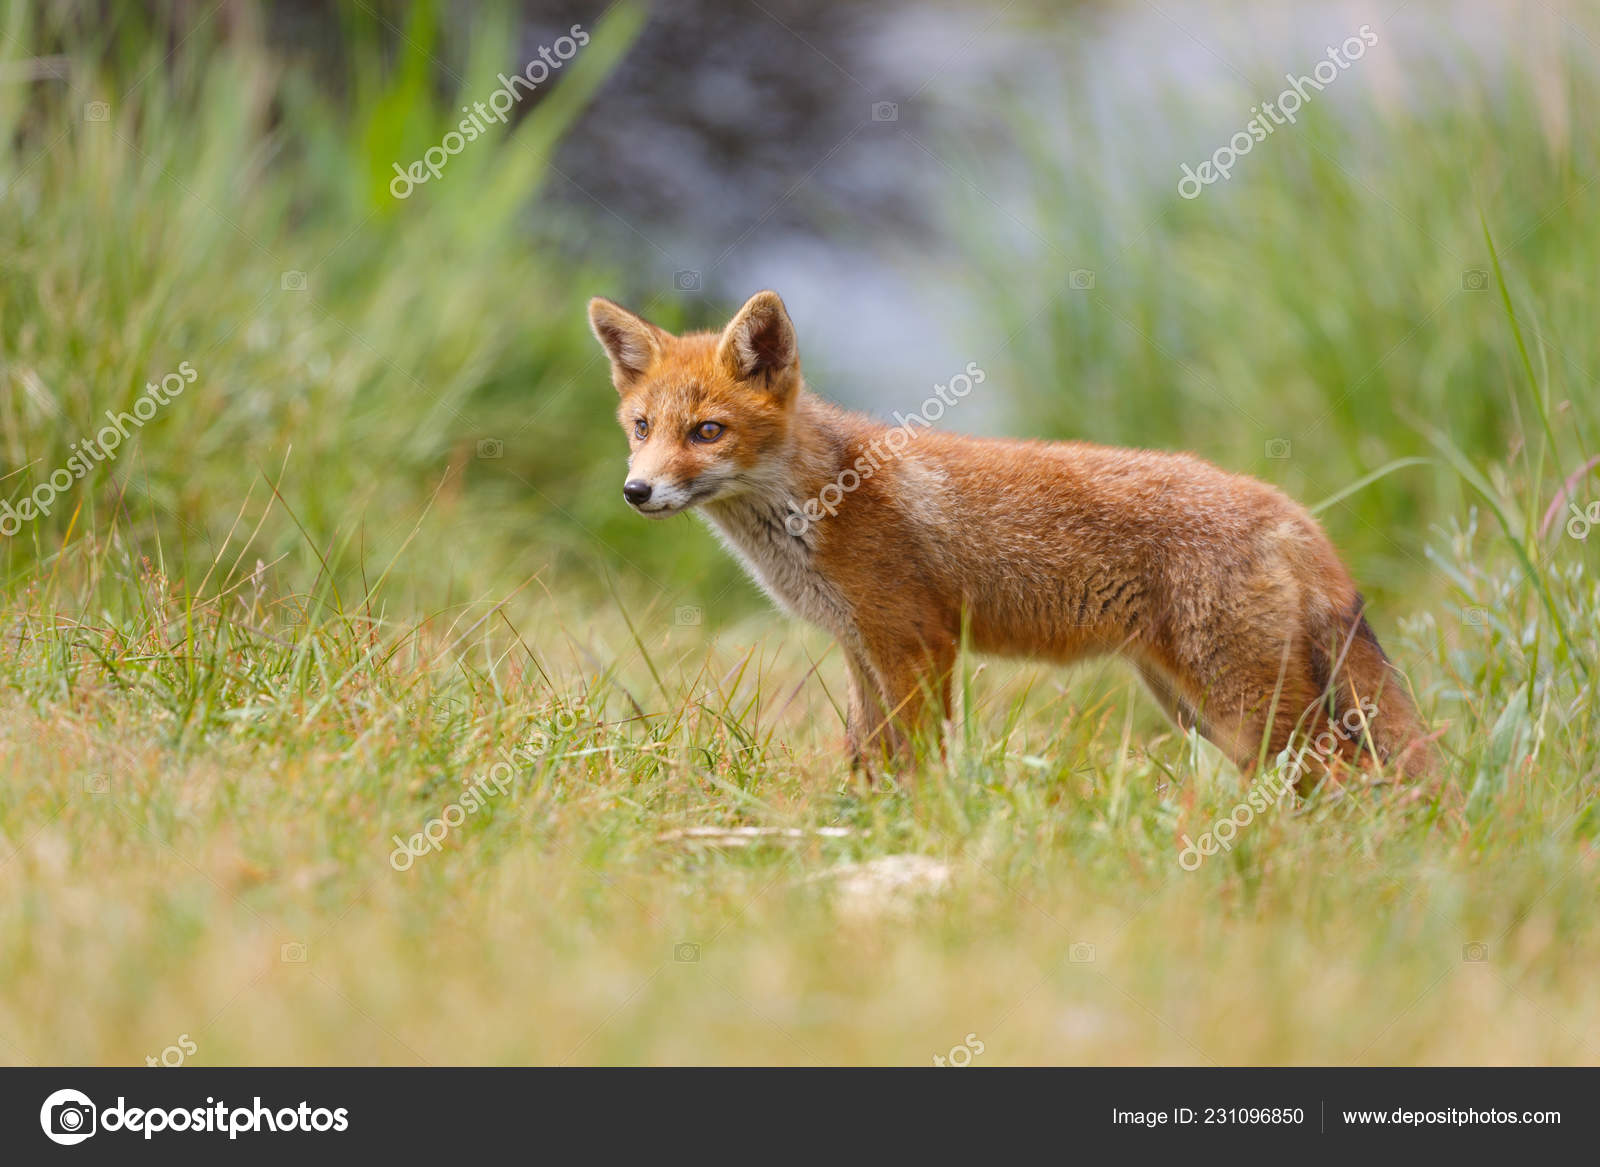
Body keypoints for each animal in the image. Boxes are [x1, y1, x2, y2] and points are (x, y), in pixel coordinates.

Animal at [587, 289, 1432, 782]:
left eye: (707, 431)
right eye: (642, 427)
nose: (636, 491)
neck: (823, 504)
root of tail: (1293, 510)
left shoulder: (917, 645)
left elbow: (918, 763)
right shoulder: (862, 649)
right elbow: (866, 758)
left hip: (1242, 701)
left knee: (1352, 774)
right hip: (1201, 706)